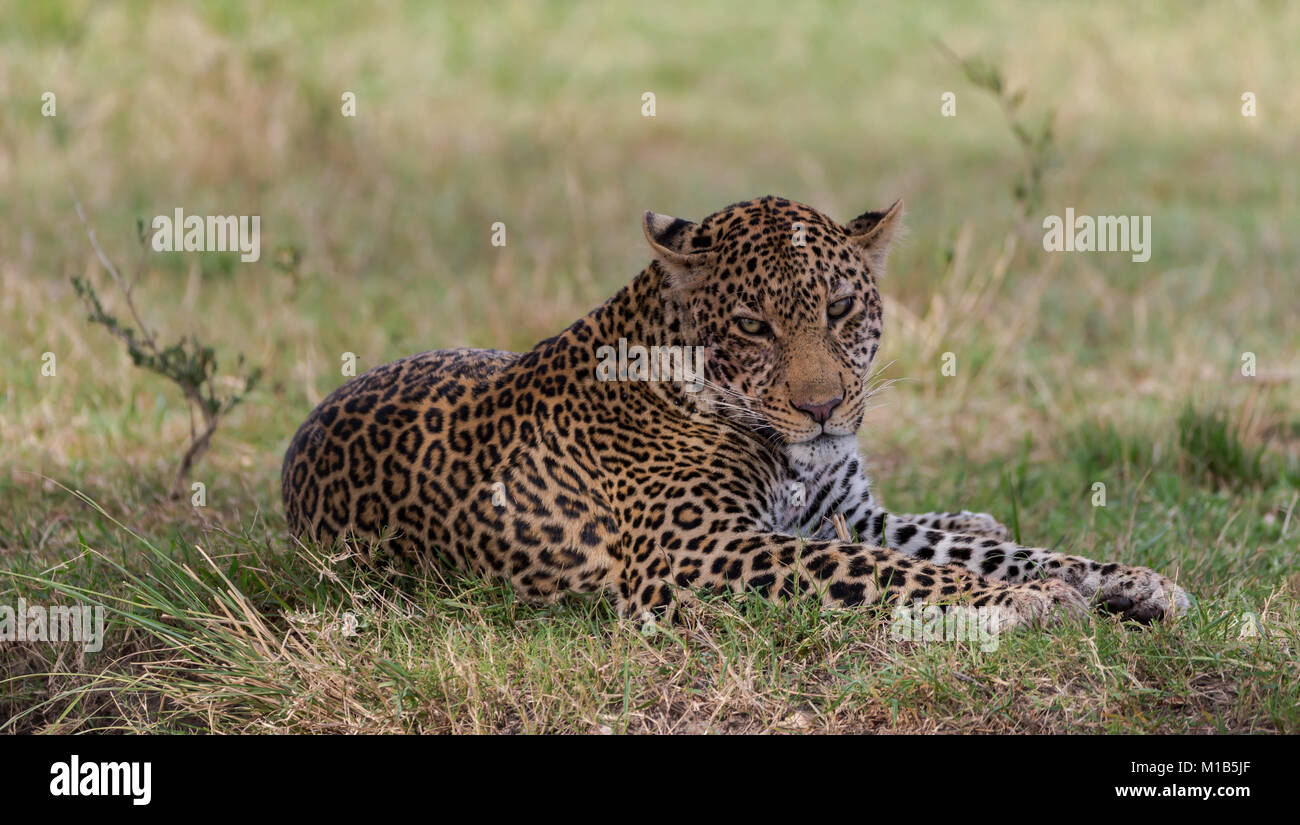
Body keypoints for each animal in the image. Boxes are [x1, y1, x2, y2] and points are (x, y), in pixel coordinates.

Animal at [282, 195, 1190, 630]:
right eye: (754, 326)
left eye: (839, 308)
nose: (823, 408)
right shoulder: (695, 550)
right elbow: (886, 568)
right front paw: (1027, 598)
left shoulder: (840, 511)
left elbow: (986, 549)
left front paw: (1131, 580)